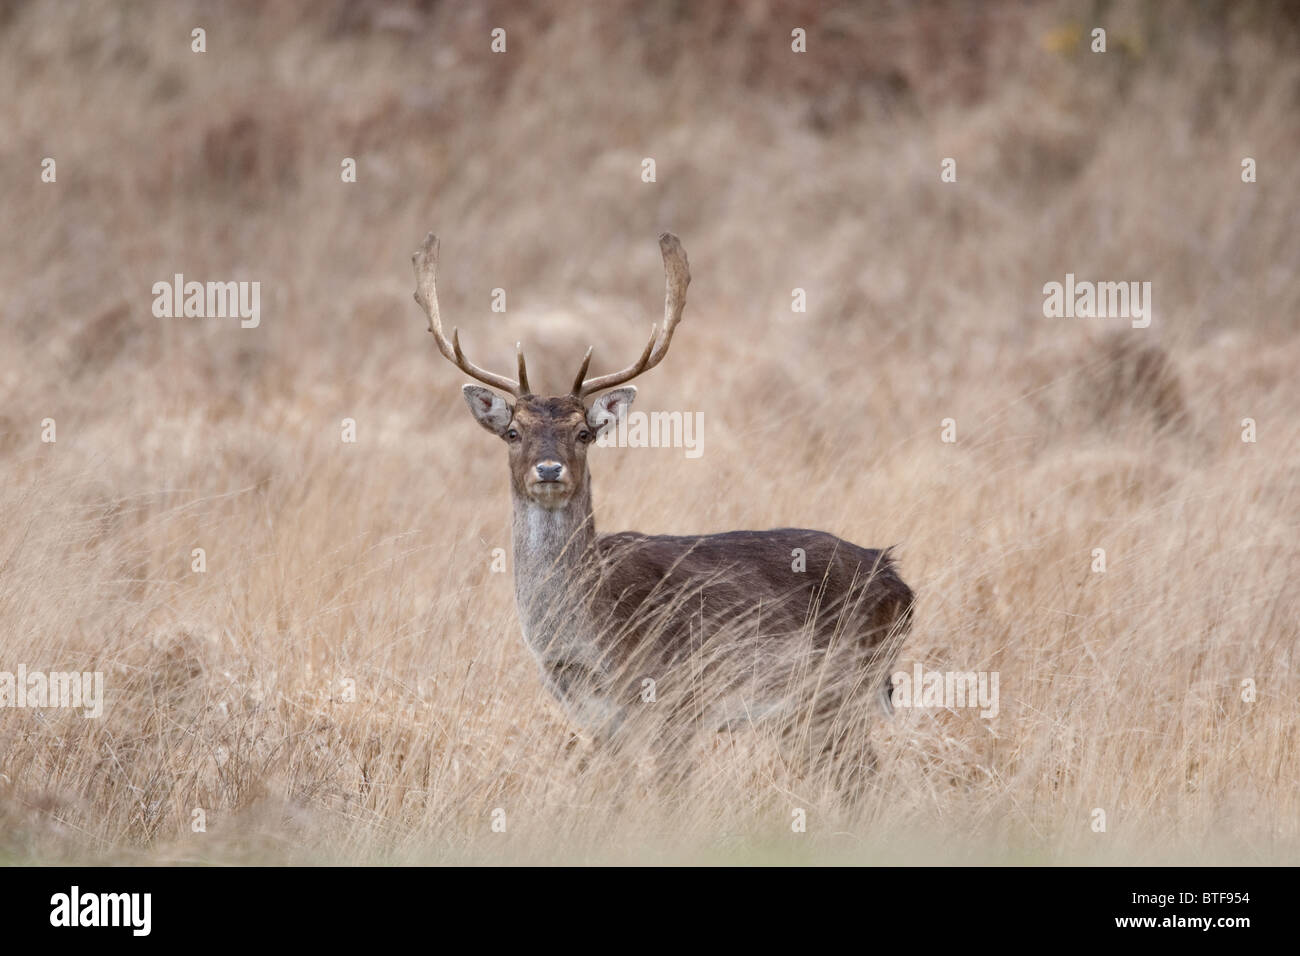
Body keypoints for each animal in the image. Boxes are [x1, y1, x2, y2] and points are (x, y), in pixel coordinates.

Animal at [412, 231, 914, 796]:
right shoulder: (601, 721)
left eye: (583, 432)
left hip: (841, 688)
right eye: (513, 431)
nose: (549, 469)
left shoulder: (676, 702)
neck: (590, 634)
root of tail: (899, 582)